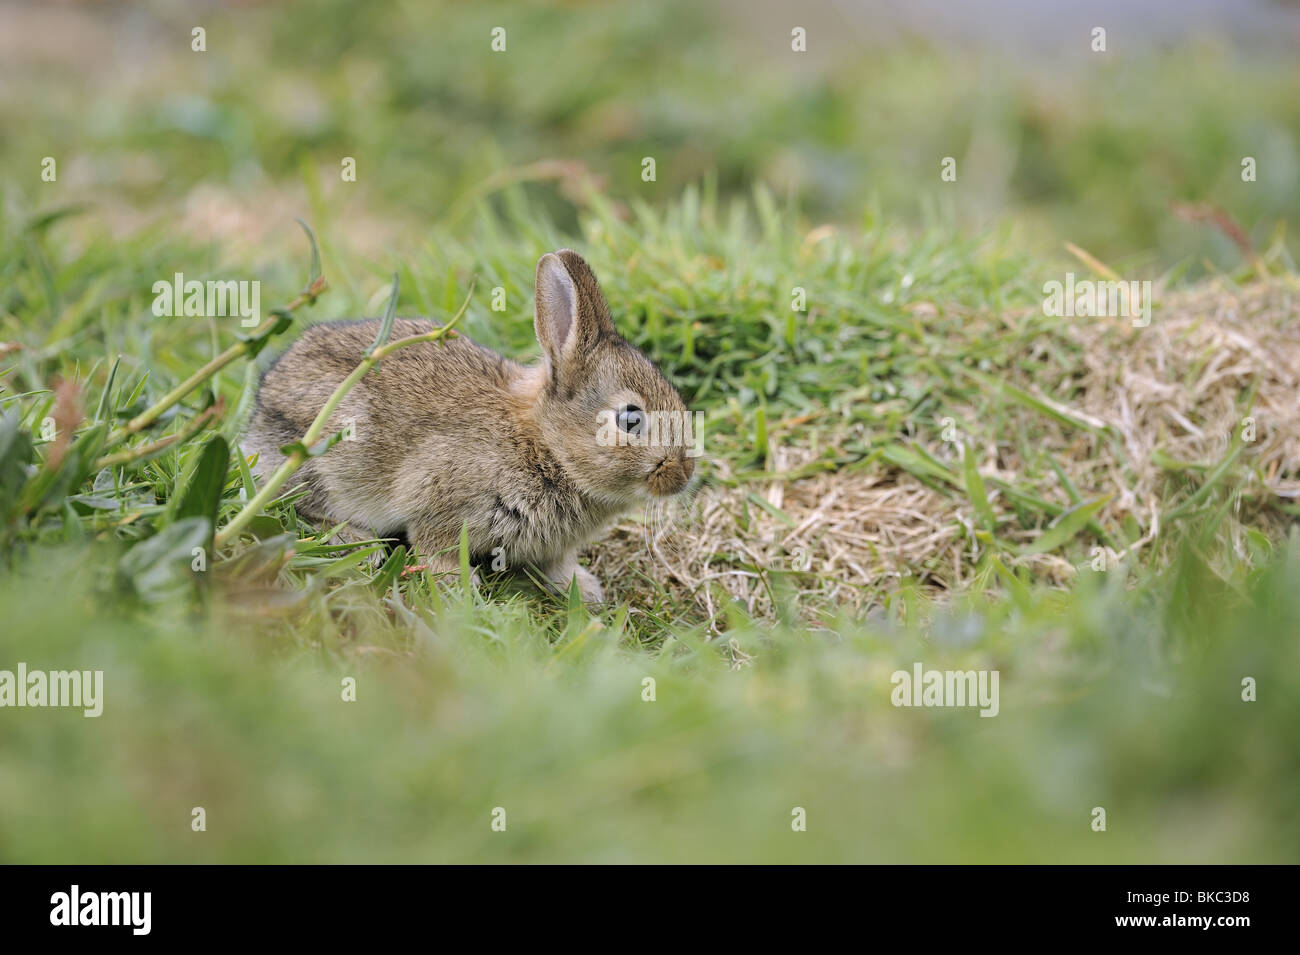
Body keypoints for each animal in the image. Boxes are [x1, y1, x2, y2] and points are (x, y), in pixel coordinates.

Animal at [242, 249, 695, 603]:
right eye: (630, 419)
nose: (684, 474)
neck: (546, 447)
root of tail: (261, 407)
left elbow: (557, 565)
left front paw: (583, 590)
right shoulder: (437, 498)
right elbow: (434, 547)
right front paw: (458, 586)